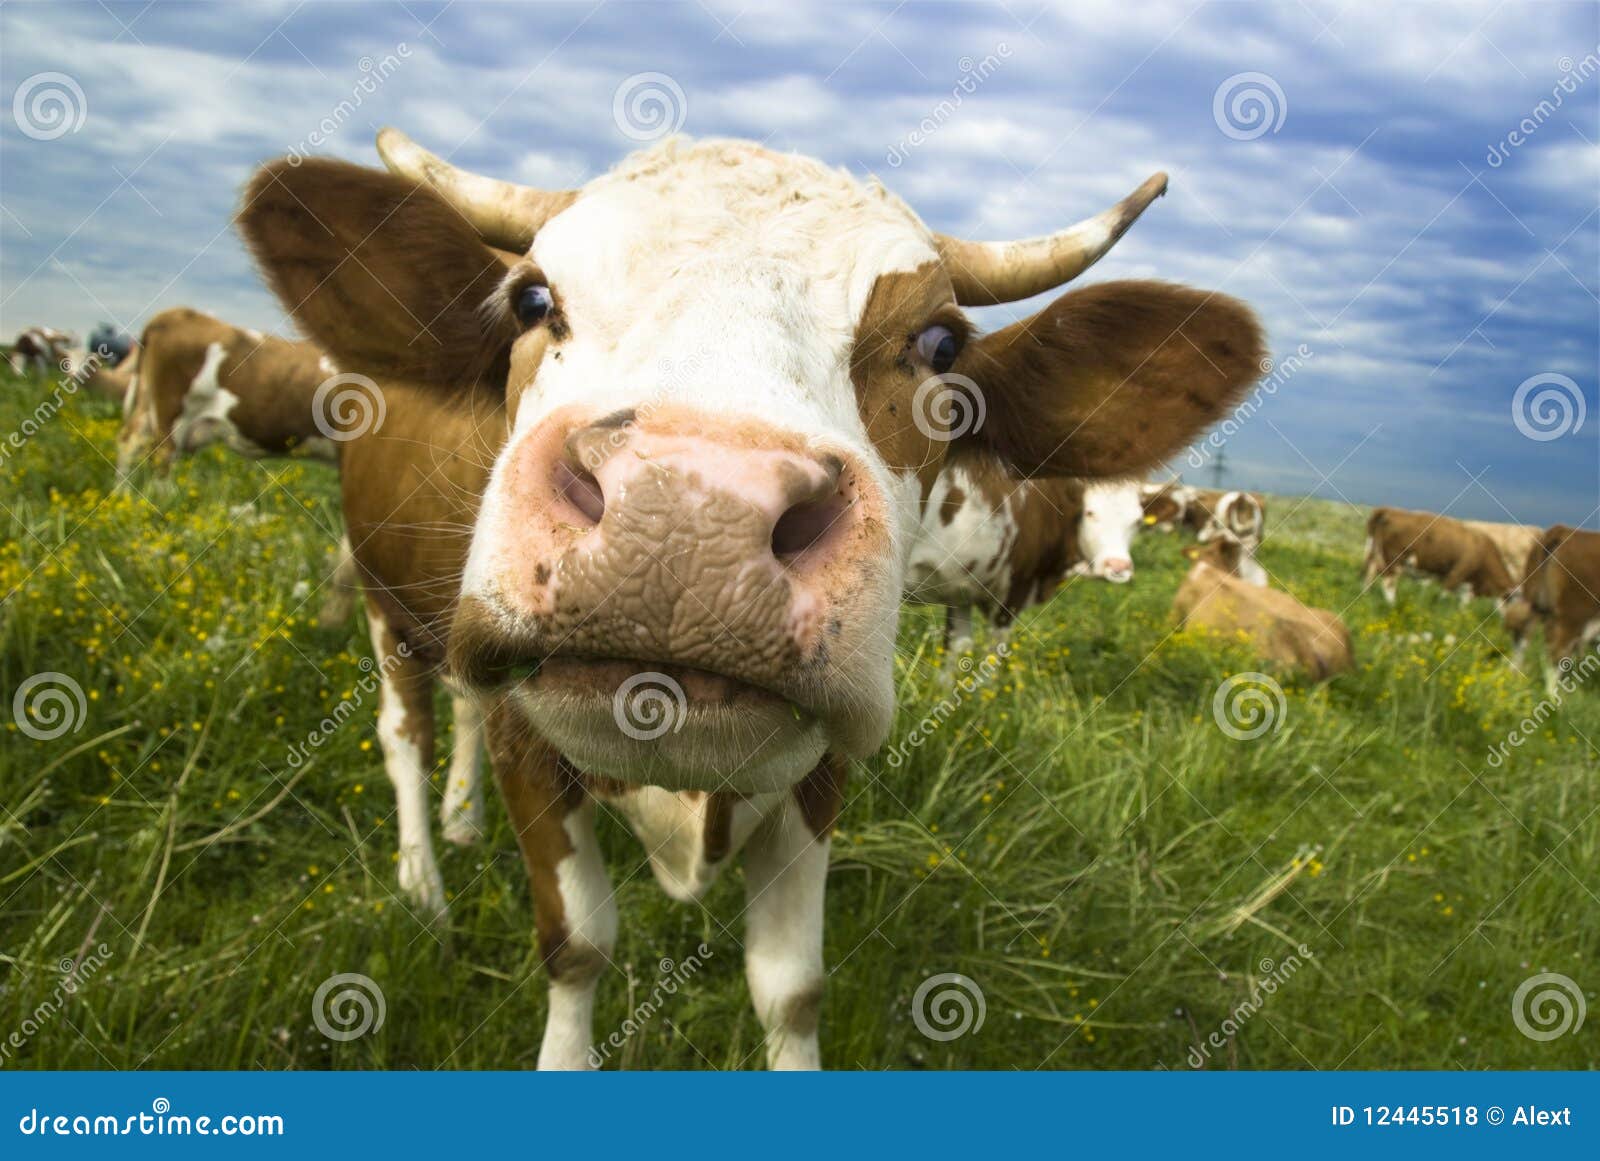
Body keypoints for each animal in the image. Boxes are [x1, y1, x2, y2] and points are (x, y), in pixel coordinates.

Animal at [906, 461, 1144, 656]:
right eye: (1090, 513)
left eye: (1138, 521)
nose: (1118, 565)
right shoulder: (1017, 585)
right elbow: (994, 650)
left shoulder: (960, 590)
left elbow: (956, 647)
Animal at [1363, 507, 1515, 606]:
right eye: (1510, 601)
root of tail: (1390, 510)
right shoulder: (1456, 574)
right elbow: (1443, 596)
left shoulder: (1467, 584)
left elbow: (1463, 604)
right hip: (1393, 560)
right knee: (1388, 582)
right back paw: (1392, 605)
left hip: (1374, 553)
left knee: (1370, 573)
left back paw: (1365, 594)